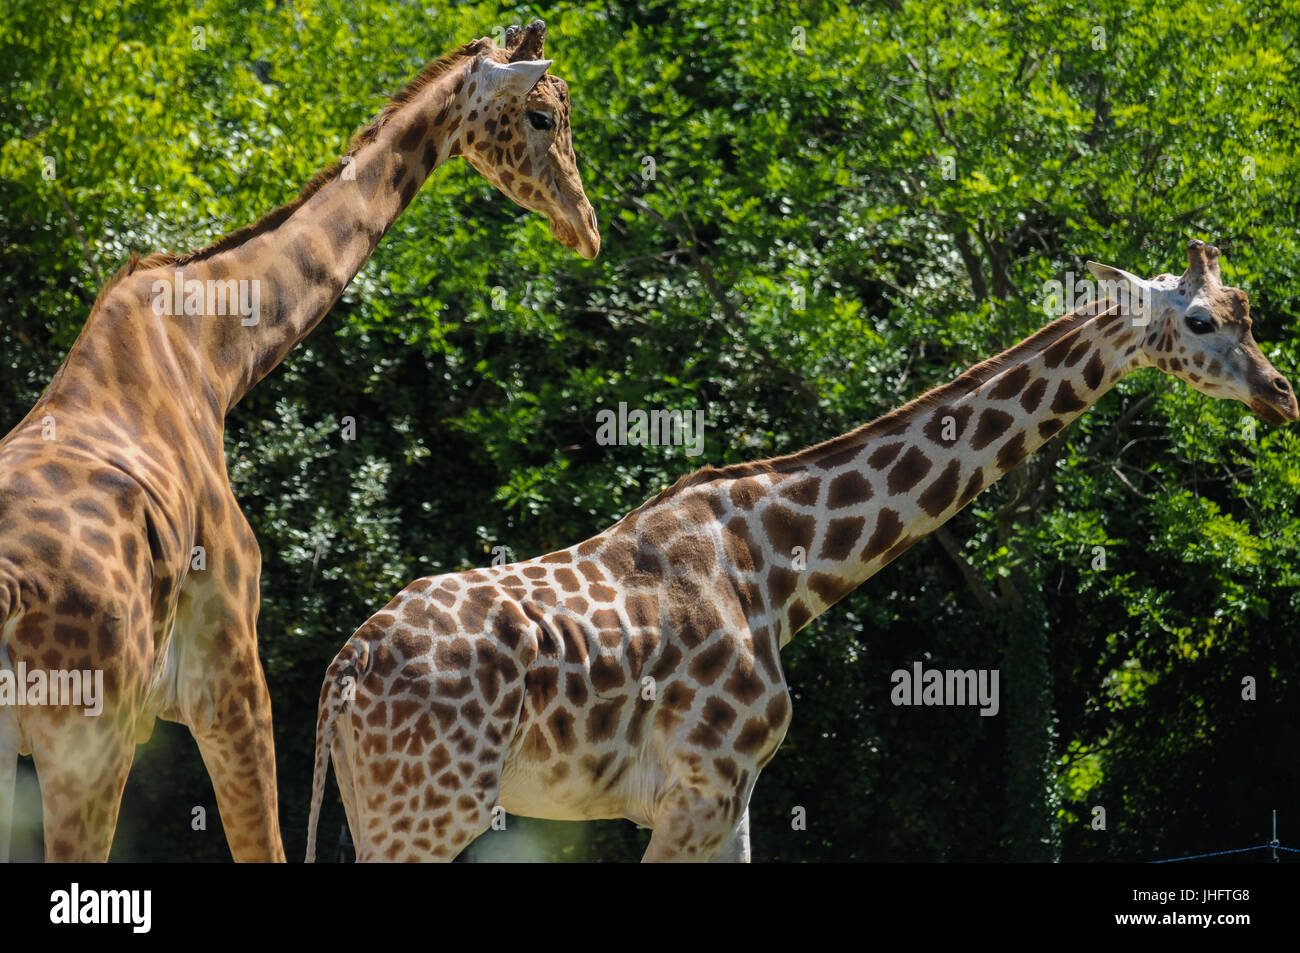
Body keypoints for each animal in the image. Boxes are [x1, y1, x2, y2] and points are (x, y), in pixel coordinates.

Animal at [306, 240, 1296, 862]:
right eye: (1203, 322)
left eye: (1245, 311)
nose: (1282, 394)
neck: (779, 568)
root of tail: (343, 671)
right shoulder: (702, 785)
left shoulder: (733, 796)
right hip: (431, 806)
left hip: (377, 801)